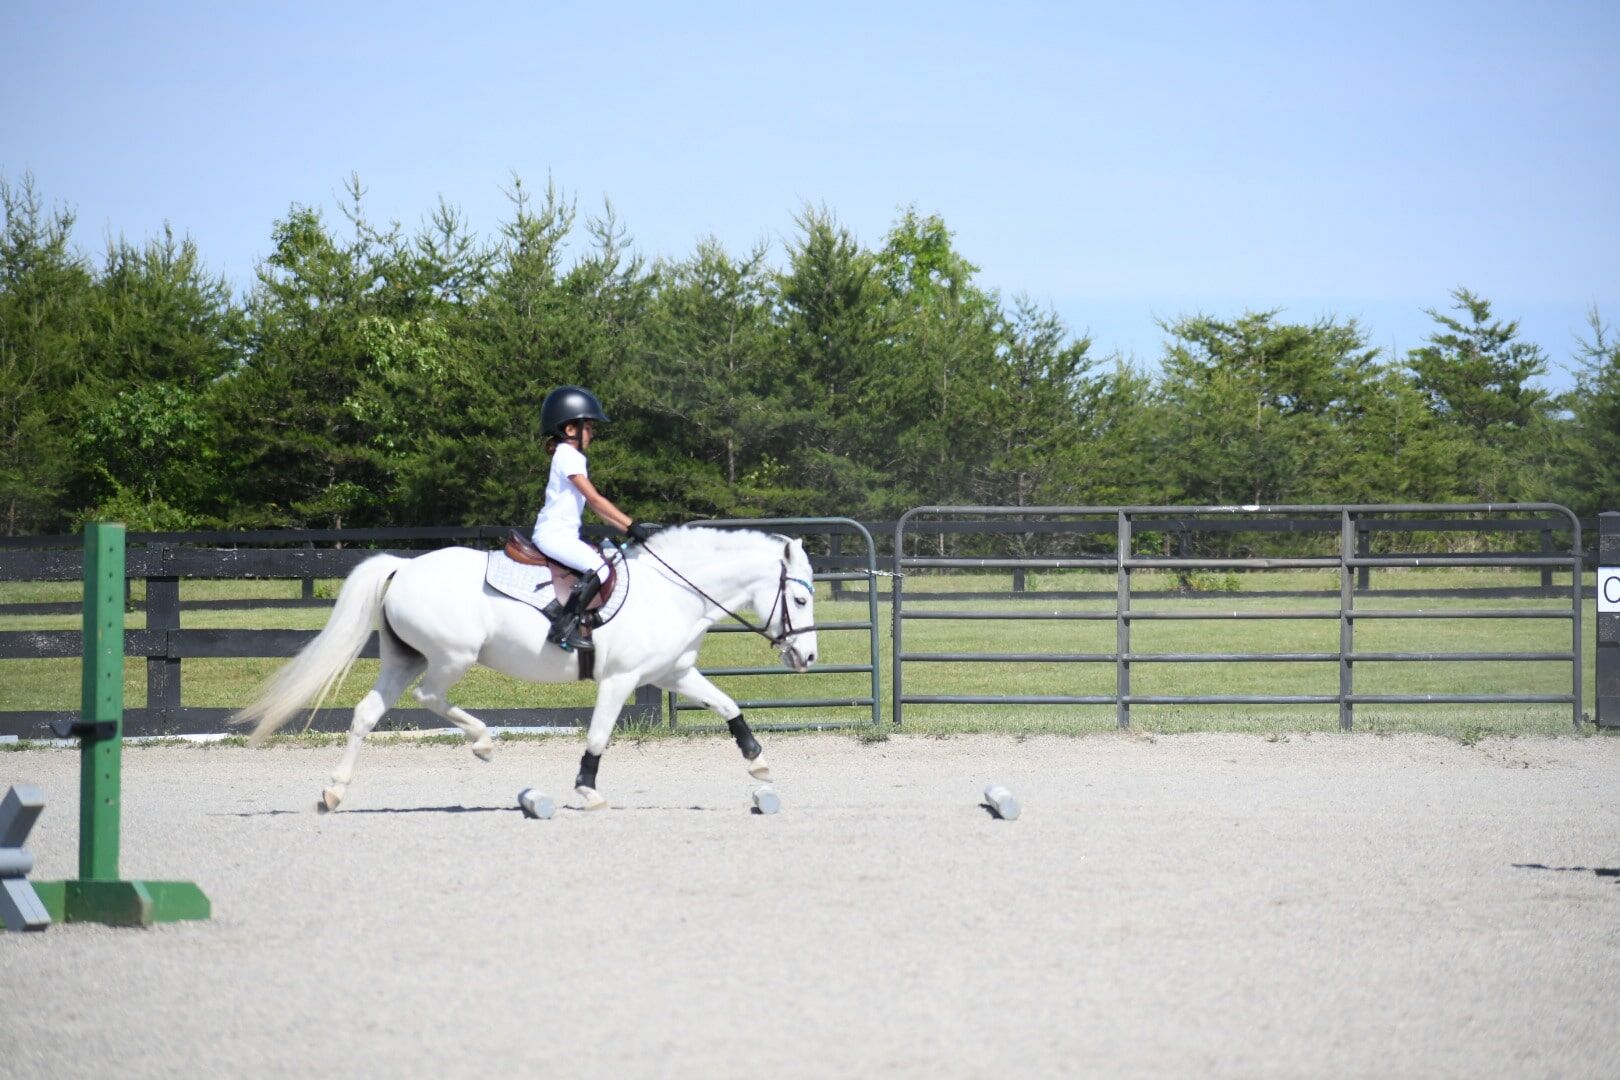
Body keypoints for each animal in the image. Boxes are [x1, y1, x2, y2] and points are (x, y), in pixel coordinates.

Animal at [233, 527, 819, 812]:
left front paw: (759, 765)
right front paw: (587, 790)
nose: (809, 659)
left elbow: (729, 705)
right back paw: (483, 741)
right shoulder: (621, 680)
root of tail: (403, 567)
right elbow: (599, 736)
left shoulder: (672, 674)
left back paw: (334, 791)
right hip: (451, 656)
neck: (672, 591)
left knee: (366, 714)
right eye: (800, 599)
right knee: (429, 698)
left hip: (404, 659)